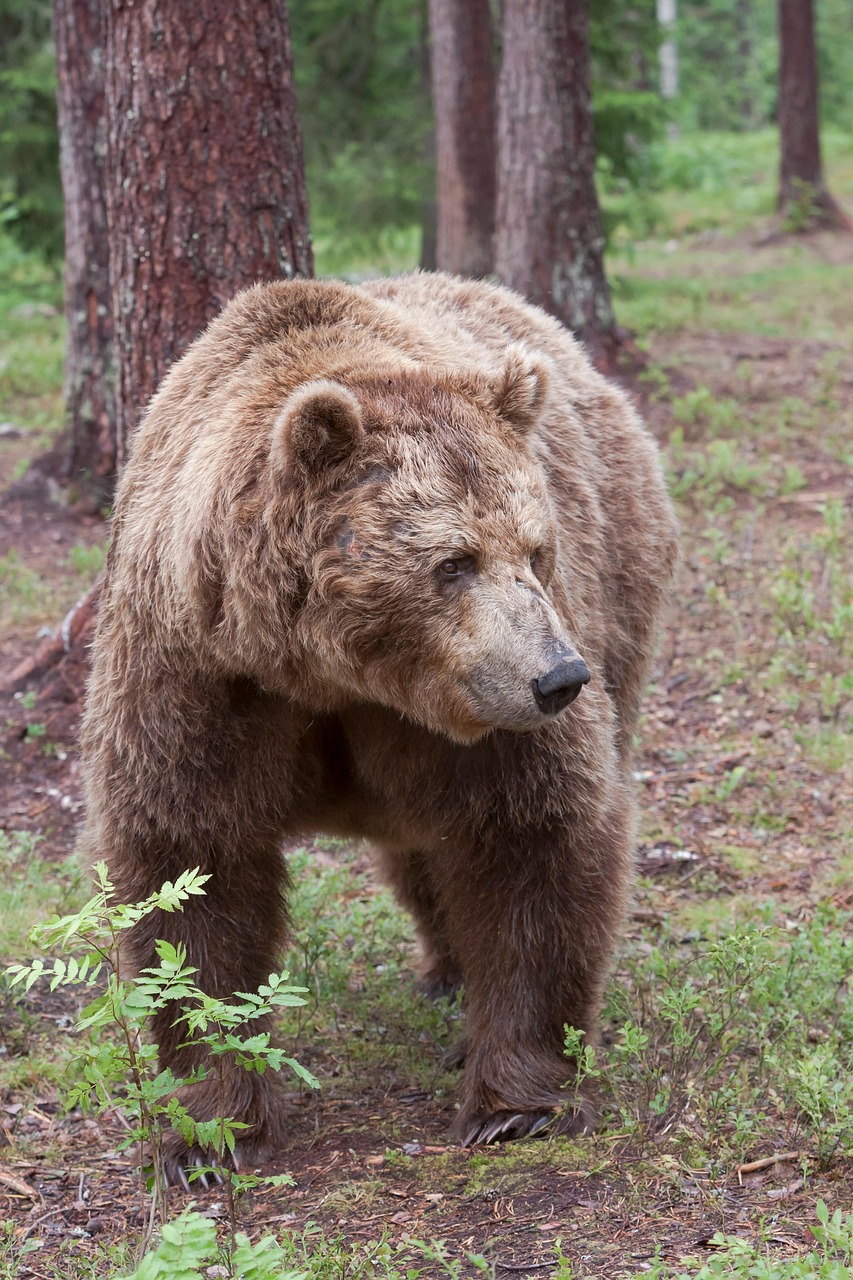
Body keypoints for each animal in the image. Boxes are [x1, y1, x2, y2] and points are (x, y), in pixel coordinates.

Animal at [79, 271, 678, 1180]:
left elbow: (533, 838)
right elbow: (189, 863)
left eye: (535, 551)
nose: (557, 679)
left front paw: (511, 1104)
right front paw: (212, 1129)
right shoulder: (195, 668)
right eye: (453, 561)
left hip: (622, 579)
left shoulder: (476, 715)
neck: (331, 673)